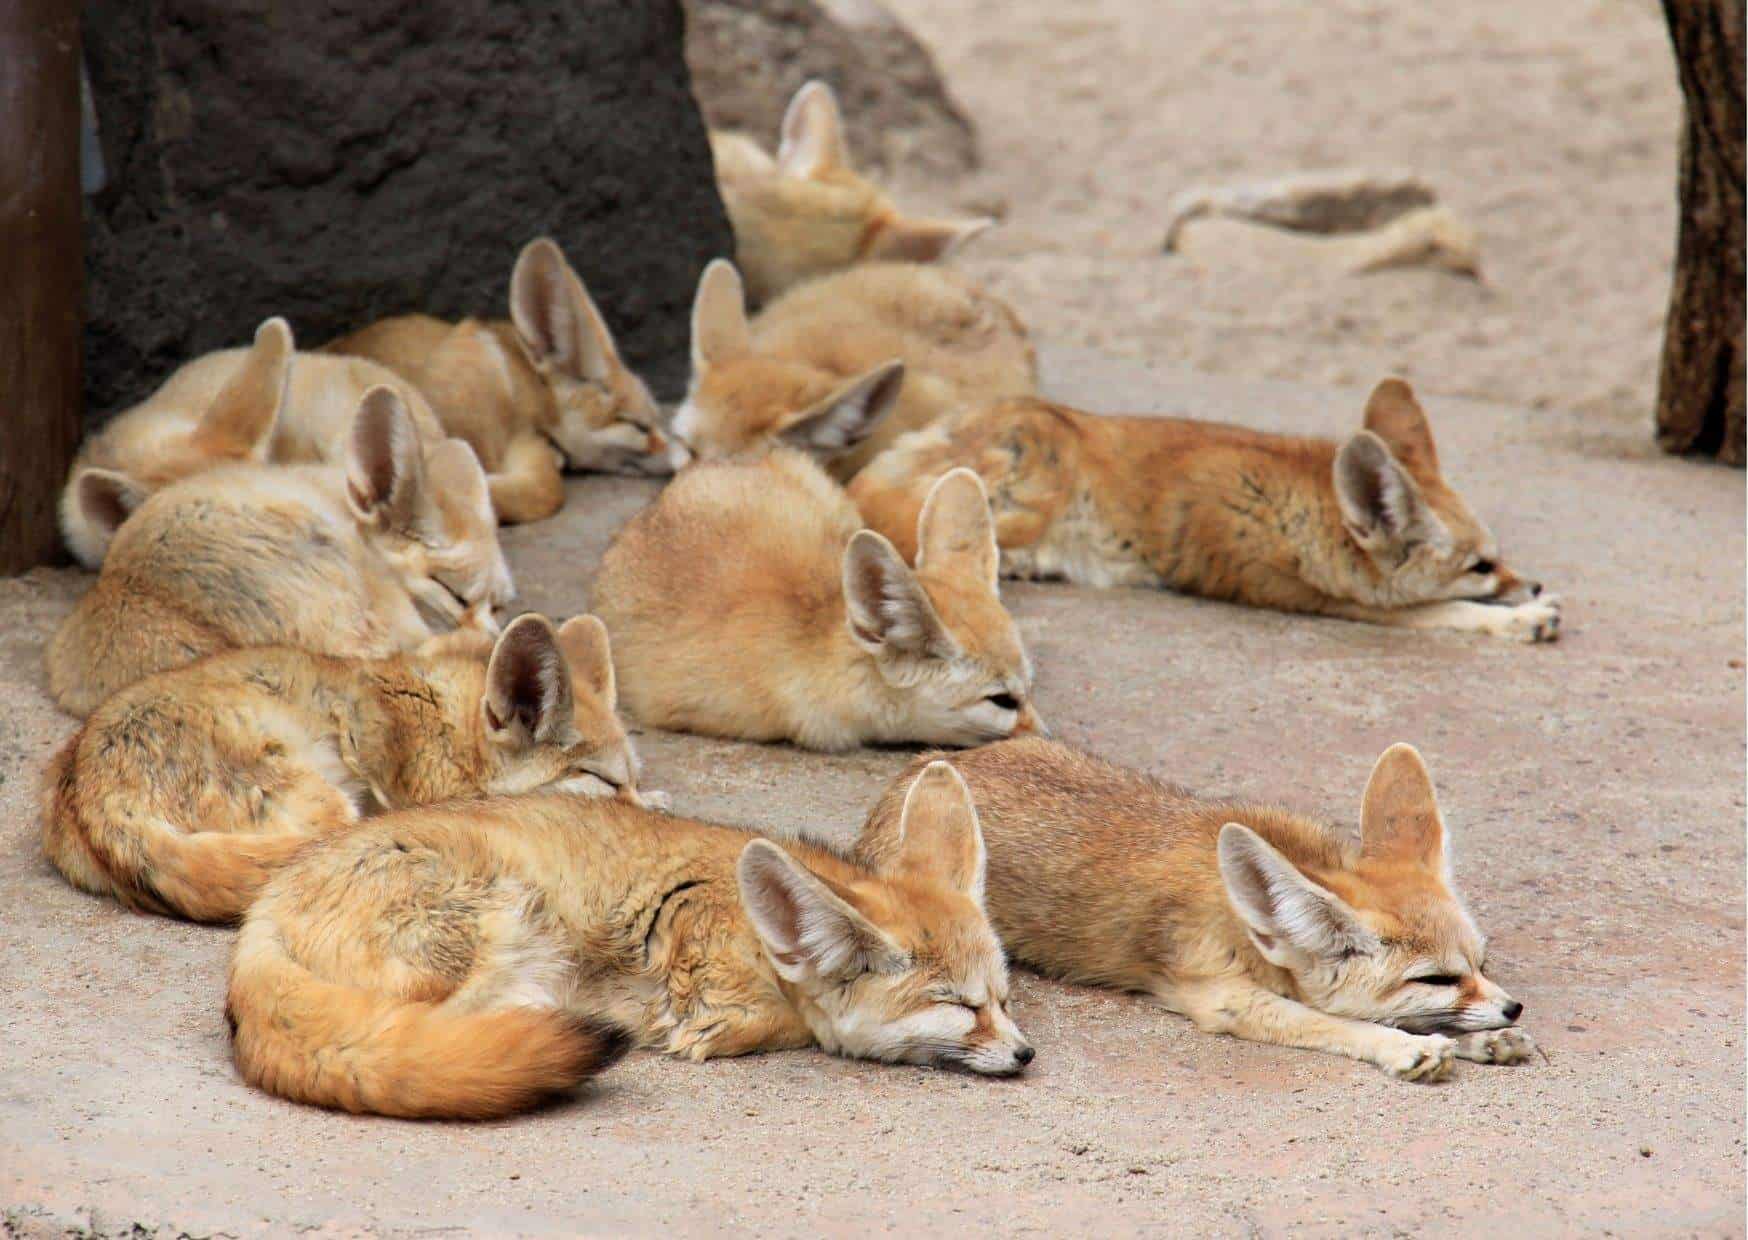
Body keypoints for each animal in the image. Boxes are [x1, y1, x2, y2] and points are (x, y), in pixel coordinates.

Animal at [42, 612, 644, 924]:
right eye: (605, 781)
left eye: (634, 780)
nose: (648, 827)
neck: (444, 728)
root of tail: (91, 798)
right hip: (330, 799)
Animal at [225, 758, 1031, 1118]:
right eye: (960, 1007)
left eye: (1001, 999)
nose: (1026, 1054)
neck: (754, 931)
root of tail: (260, 918)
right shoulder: (713, 1000)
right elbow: (769, 1024)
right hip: (505, 922)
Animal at [848, 380, 1562, 641]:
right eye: (1480, 565)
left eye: (1498, 556)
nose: (1534, 583)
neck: (1302, 504)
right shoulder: (1329, 602)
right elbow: (1452, 614)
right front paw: (1522, 619)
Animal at [859, 738, 1537, 1083]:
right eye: (1438, 978)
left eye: (1480, 964)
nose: (1513, 1006)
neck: (1243, 916)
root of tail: (919, 767)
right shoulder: (1220, 995)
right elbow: (1328, 1022)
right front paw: (1400, 1045)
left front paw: (1484, 1039)